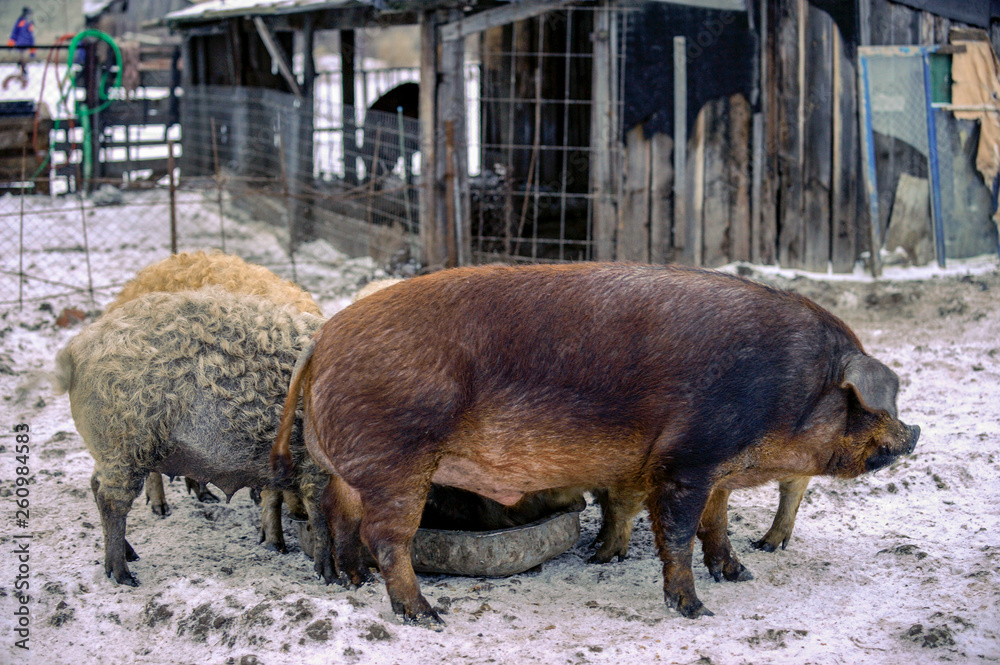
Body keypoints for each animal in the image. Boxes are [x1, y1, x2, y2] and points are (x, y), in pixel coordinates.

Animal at [55, 288, 332, 586]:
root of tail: (77, 347)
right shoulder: (316, 467)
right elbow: (321, 516)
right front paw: (332, 578)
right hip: (125, 442)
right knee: (111, 501)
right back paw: (126, 576)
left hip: (110, 449)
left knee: (95, 485)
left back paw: (132, 556)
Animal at [271, 263, 919, 625]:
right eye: (872, 404)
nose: (913, 434)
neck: (790, 390)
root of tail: (324, 336)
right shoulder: (687, 459)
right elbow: (678, 533)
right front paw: (695, 610)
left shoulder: (721, 471)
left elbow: (715, 527)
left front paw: (739, 577)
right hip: (398, 458)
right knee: (388, 537)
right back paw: (426, 617)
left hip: (355, 466)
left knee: (341, 514)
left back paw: (349, 582)